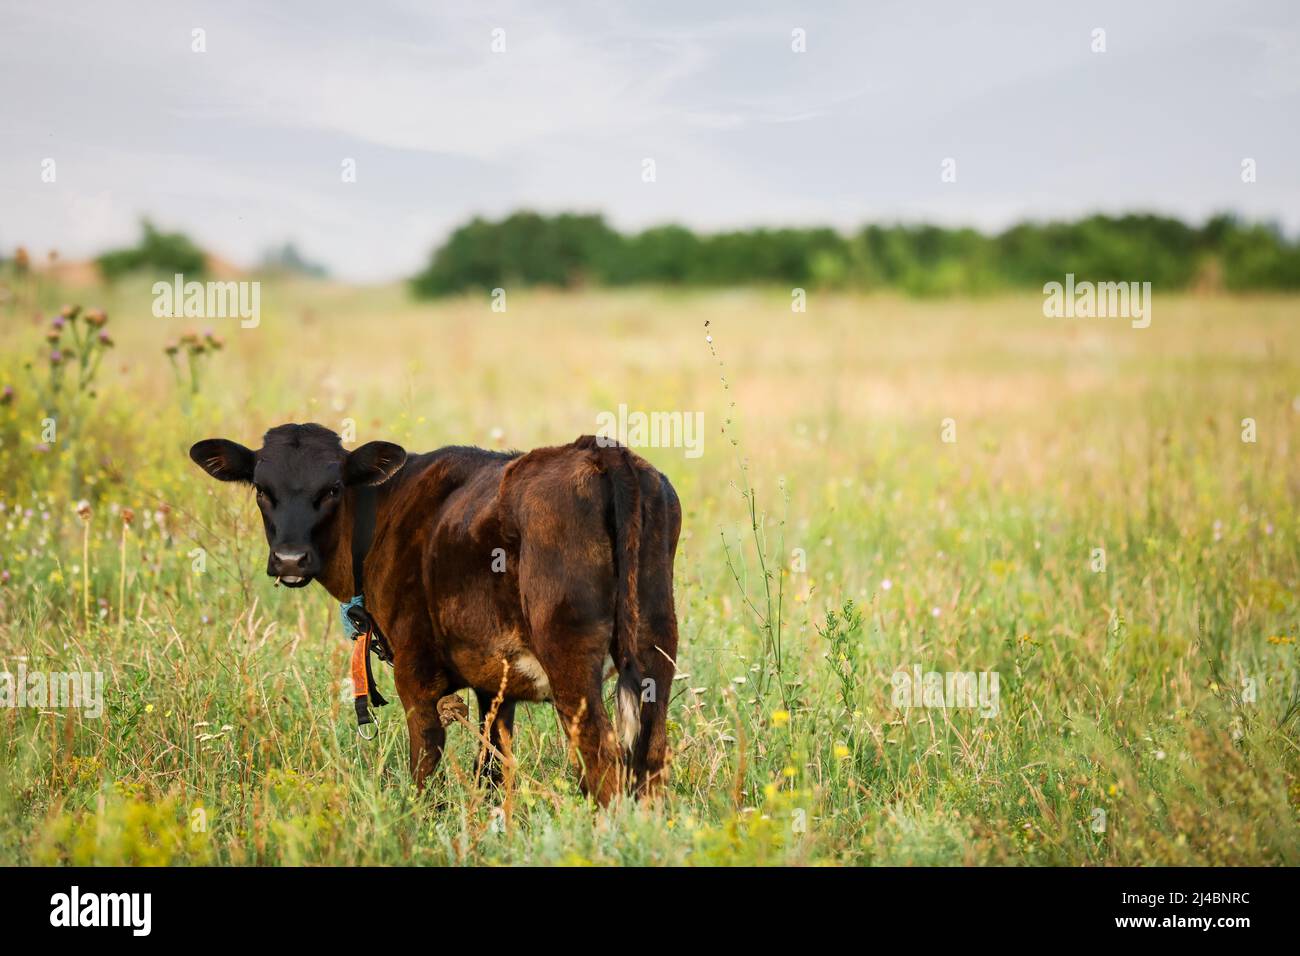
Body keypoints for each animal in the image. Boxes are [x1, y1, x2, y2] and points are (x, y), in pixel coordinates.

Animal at [189, 423, 681, 804]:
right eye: (262, 490)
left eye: (331, 489)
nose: (290, 559)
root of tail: (598, 451)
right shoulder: (493, 686)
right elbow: (491, 768)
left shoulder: (415, 674)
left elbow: (426, 767)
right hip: (657, 648)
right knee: (650, 761)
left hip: (570, 662)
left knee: (603, 763)